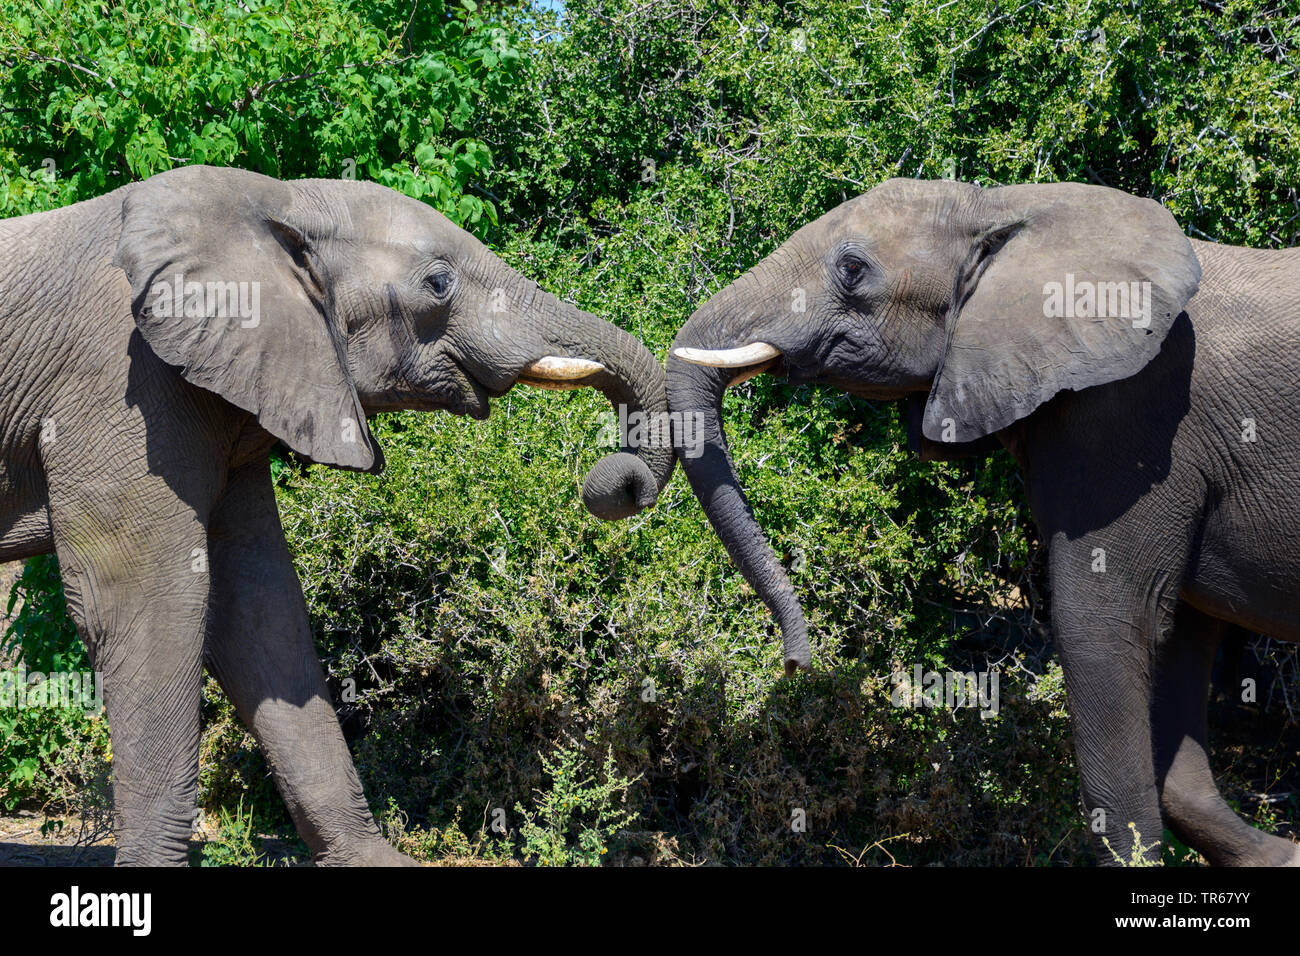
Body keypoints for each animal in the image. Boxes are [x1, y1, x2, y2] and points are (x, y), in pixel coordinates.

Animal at [0, 165, 673, 865]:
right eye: (439, 284)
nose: (619, 482)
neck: (277, 199)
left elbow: (259, 608)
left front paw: (379, 861)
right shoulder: (118, 386)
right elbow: (145, 603)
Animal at [667, 177, 1300, 866]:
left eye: (853, 270)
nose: (794, 666)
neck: (1000, 205)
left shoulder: (1134, 420)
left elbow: (1100, 624)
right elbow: (1180, 640)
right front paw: (1280, 857)